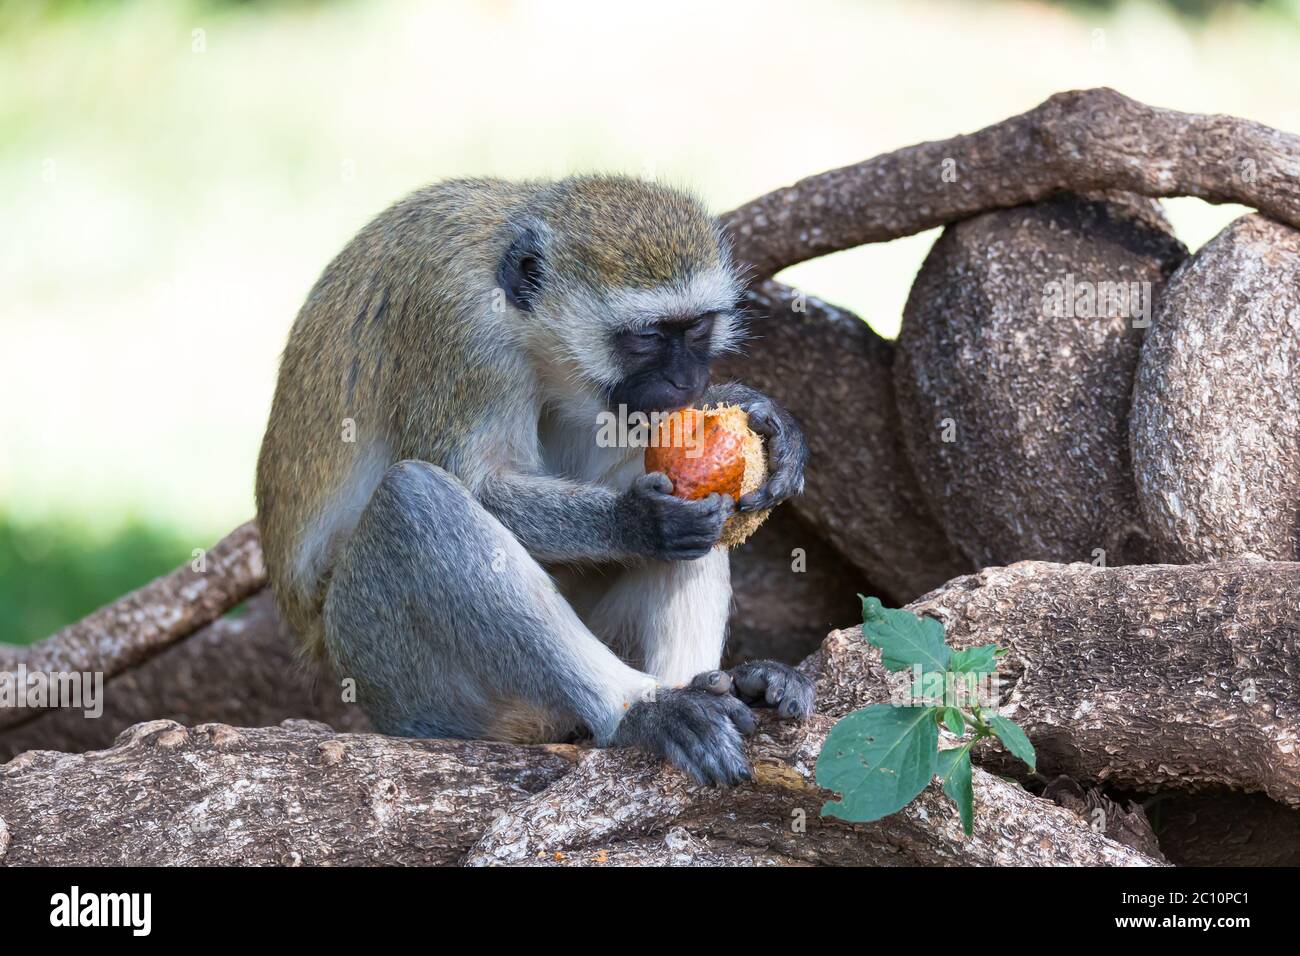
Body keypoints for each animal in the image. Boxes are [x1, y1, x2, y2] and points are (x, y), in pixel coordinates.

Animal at [255, 175, 814, 786]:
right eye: (646, 337)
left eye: (696, 329)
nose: (688, 380)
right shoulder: (460, 329)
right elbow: (477, 483)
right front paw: (641, 520)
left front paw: (756, 412)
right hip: (404, 677)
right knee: (413, 498)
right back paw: (644, 710)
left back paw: (718, 687)